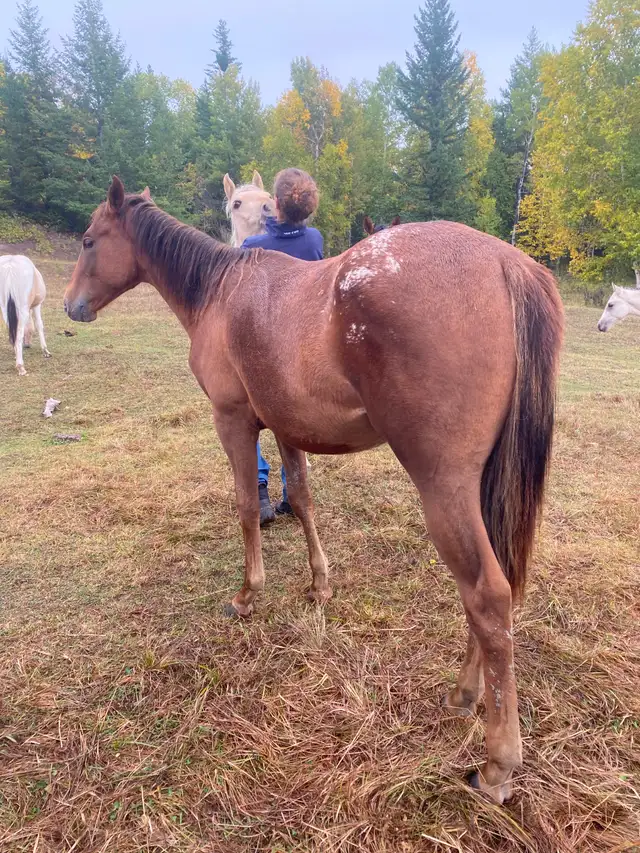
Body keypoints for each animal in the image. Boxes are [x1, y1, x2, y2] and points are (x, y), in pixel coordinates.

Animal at [64, 176, 563, 804]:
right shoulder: (285, 427)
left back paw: (497, 764)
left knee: (487, 596)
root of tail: (503, 262)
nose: (71, 306)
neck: (222, 291)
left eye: (88, 240)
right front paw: (319, 584)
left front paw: (247, 594)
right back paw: (464, 693)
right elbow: (300, 499)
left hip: (444, 488)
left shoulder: (234, 422)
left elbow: (247, 506)